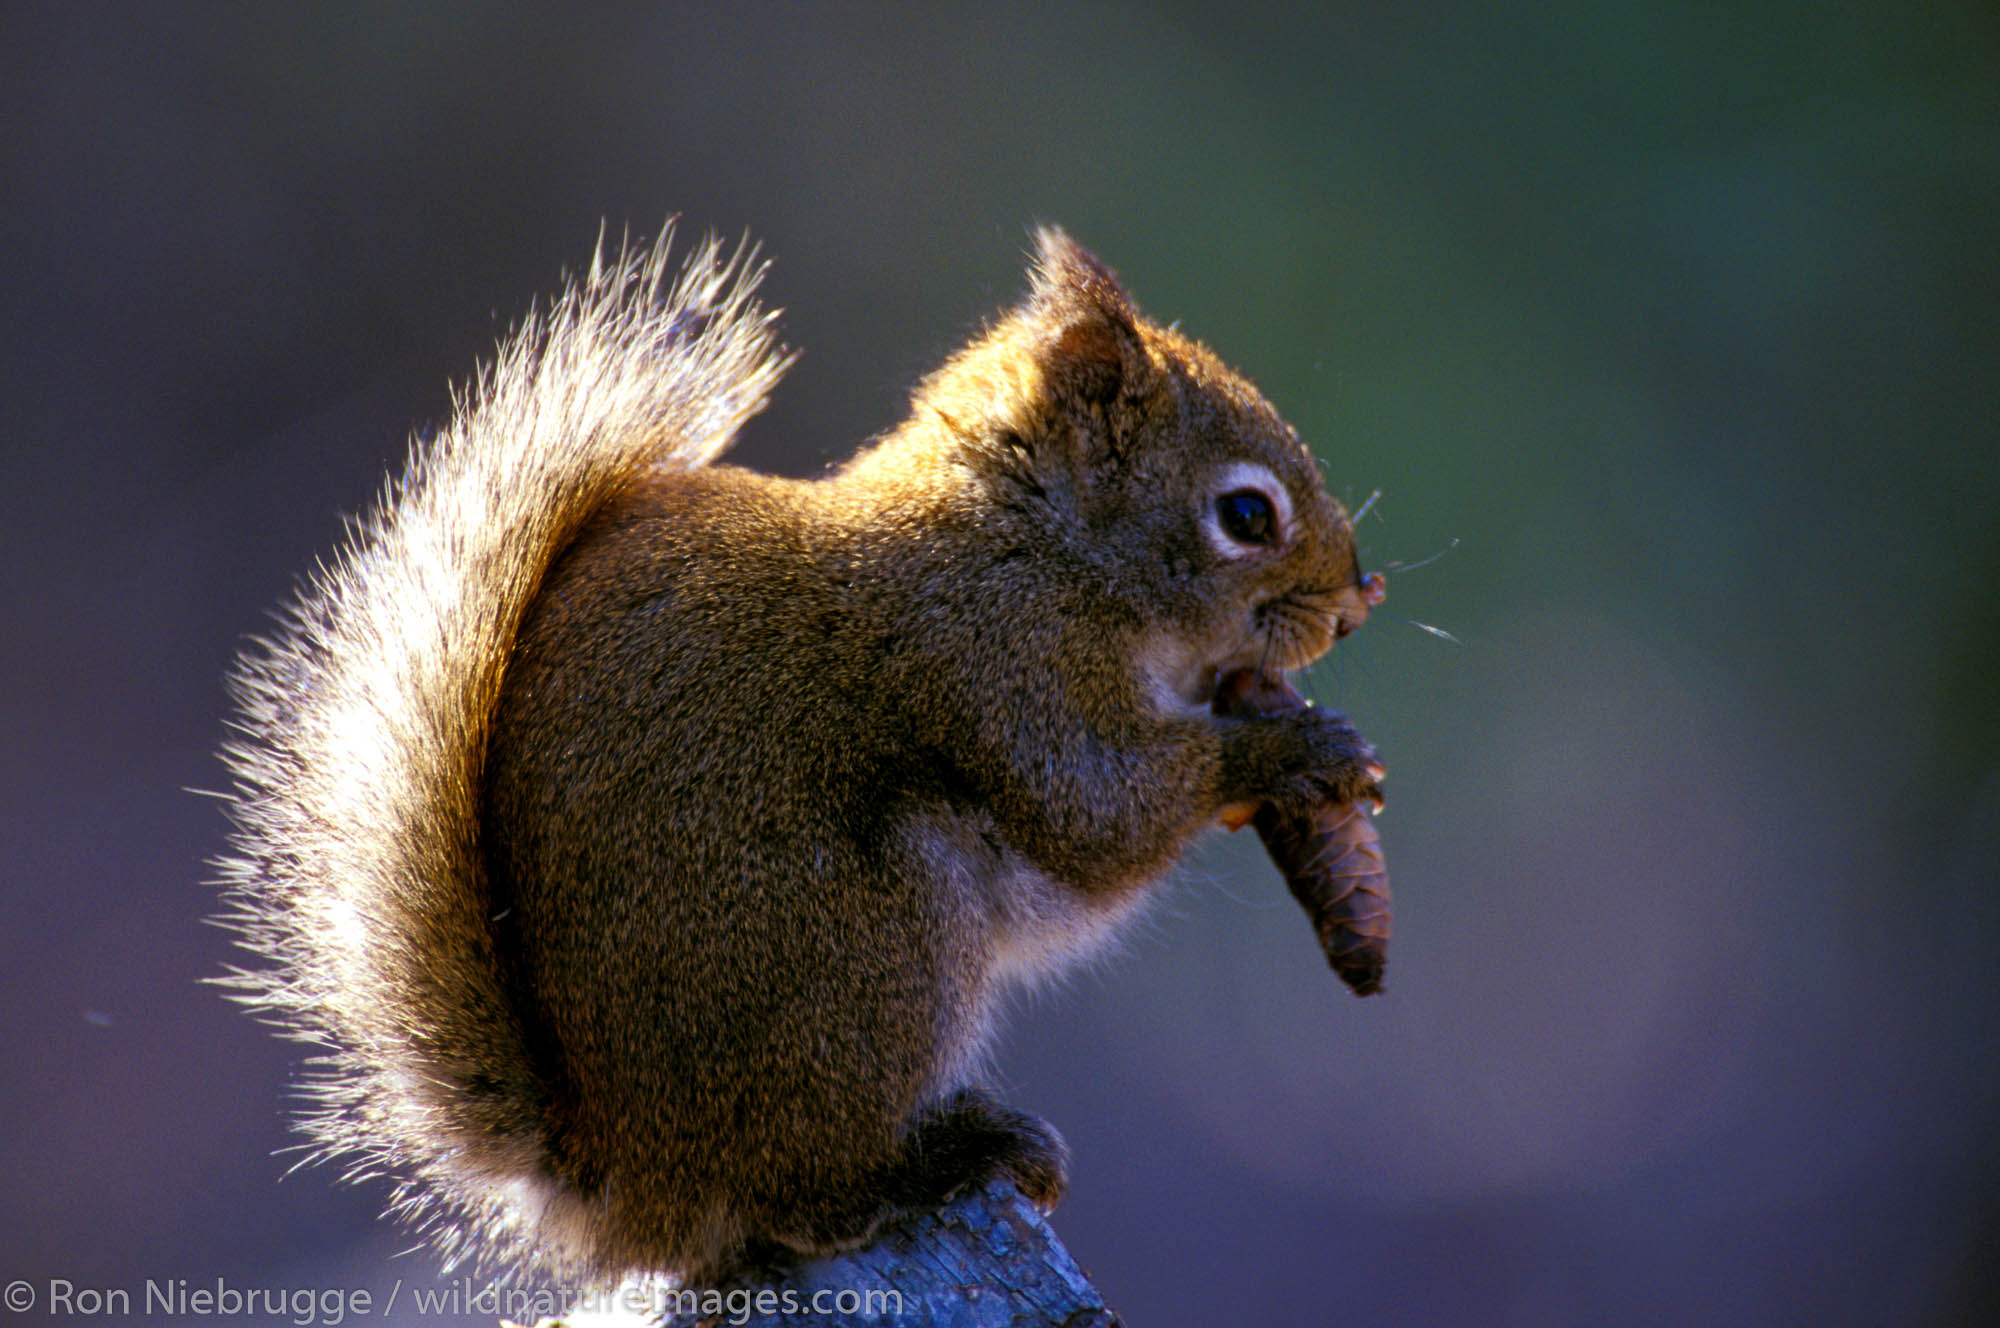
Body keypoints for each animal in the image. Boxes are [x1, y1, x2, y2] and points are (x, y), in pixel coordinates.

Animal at [216, 225, 1385, 1286]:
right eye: (1247, 514)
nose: (1358, 603)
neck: (1037, 544)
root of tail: (625, 1185)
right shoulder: (995, 667)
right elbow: (1098, 814)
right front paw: (1289, 747)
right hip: (874, 944)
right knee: (797, 1198)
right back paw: (940, 1158)